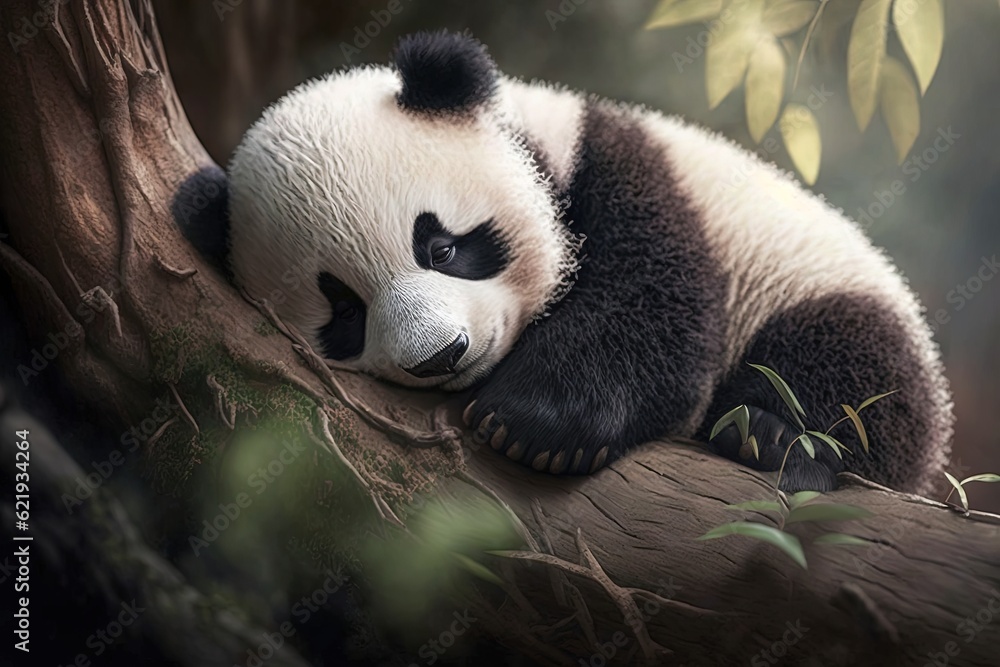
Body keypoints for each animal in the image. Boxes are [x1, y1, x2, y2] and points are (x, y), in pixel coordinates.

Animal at [202, 31, 953, 494]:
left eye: (441, 246)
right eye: (345, 315)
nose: (442, 355)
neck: (525, 130)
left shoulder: (620, 169)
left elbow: (656, 308)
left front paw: (534, 424)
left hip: (816, 281)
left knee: (855, 366)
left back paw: (768, 434)